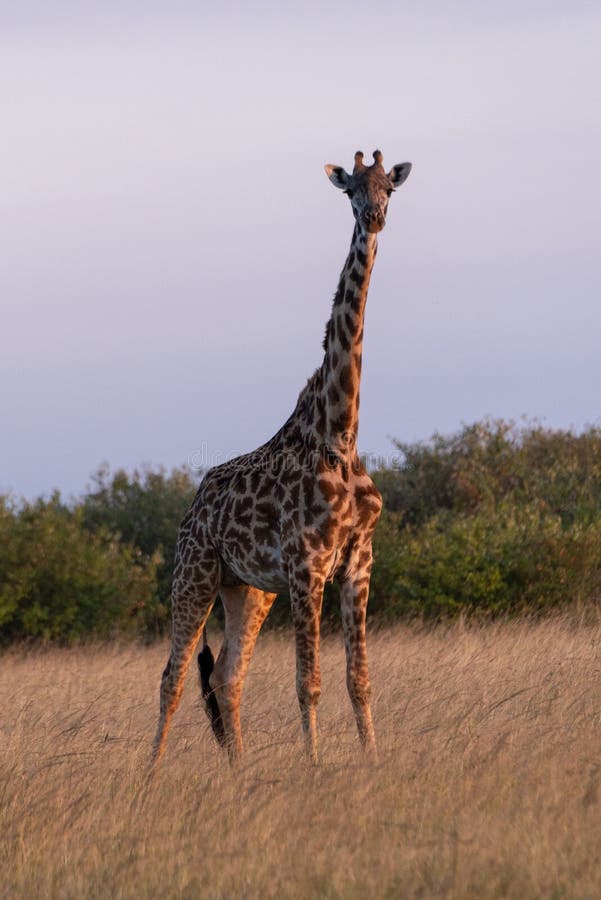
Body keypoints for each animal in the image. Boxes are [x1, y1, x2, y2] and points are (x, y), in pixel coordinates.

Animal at [152, 149, 412, 765]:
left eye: (390, 187)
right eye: (350, 190)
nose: (375, 218)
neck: (339, 435)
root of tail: (192, 507)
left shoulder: (358, 562)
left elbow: (359, 680)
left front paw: (373, 763)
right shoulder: (305, 566)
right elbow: (308, 682)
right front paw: (315, 767)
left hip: (247, 590)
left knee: (226, 677)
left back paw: (240, 771)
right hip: (194, 572)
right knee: (174, 676)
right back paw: (147, 774)